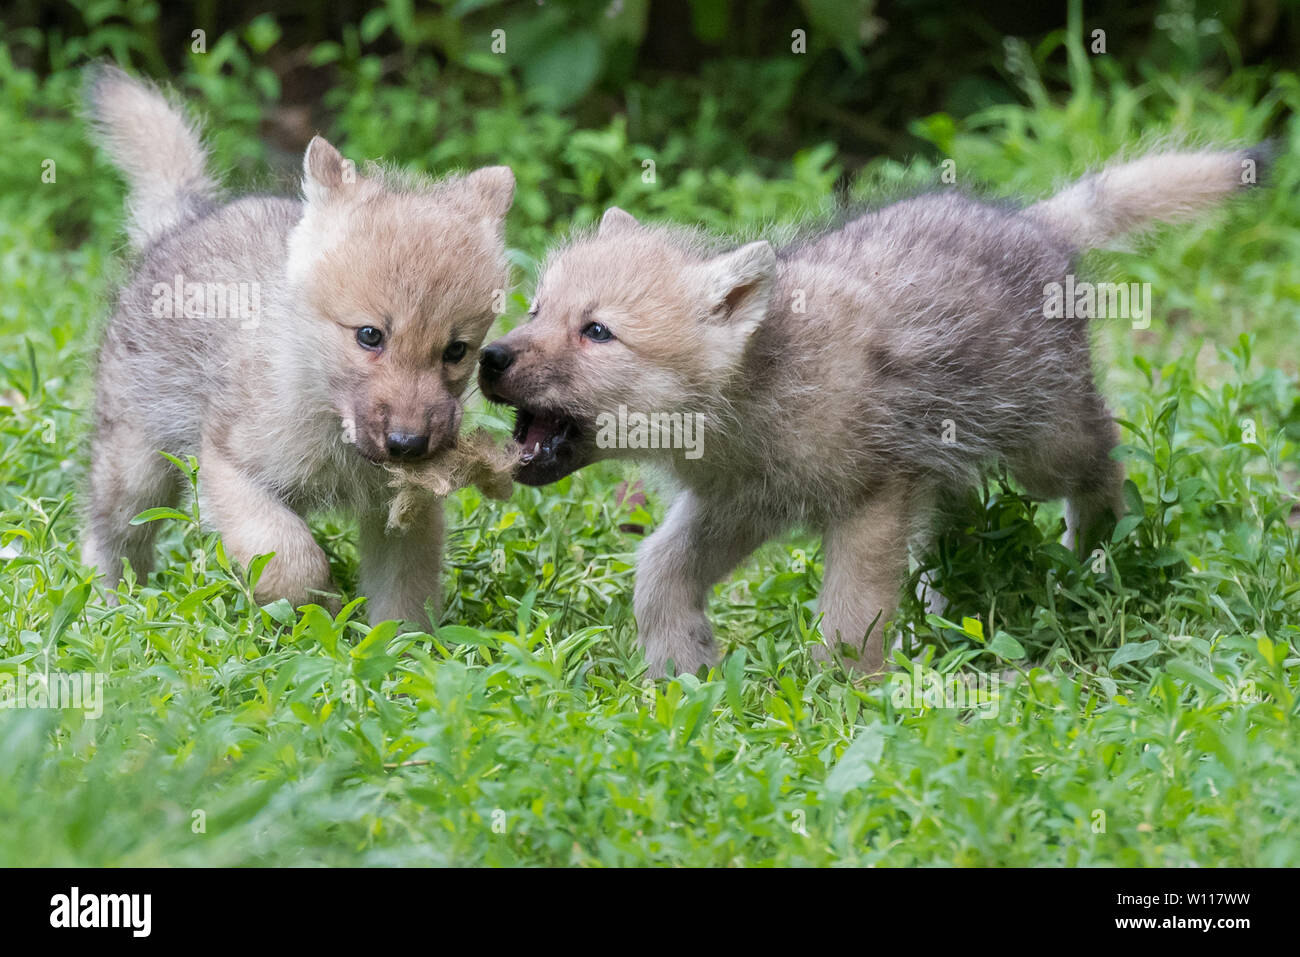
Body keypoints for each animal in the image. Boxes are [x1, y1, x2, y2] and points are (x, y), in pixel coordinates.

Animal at [82, 65, 514, 625]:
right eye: (369, 336)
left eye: (456, 351)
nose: (408, 445)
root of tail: (186, 218)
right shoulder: (229, 468)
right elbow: (291, 559)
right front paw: (319, 611)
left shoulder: (404, 511)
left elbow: (405, 597)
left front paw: (396, 645)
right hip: (135, 467)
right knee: (107, 537)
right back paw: (105, 609)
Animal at [478, 146, 1265, 676]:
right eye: (535, 308)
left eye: (597, 331)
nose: (488, 357)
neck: (754, 394)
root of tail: (1040, 224)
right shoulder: (738, 505)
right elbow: (658, 569)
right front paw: (684, 664)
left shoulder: (871, 499)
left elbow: (850, 619)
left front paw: (847, 704)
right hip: (955, 468)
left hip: (1046, 446)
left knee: (1106, 461)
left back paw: (1095, 559)